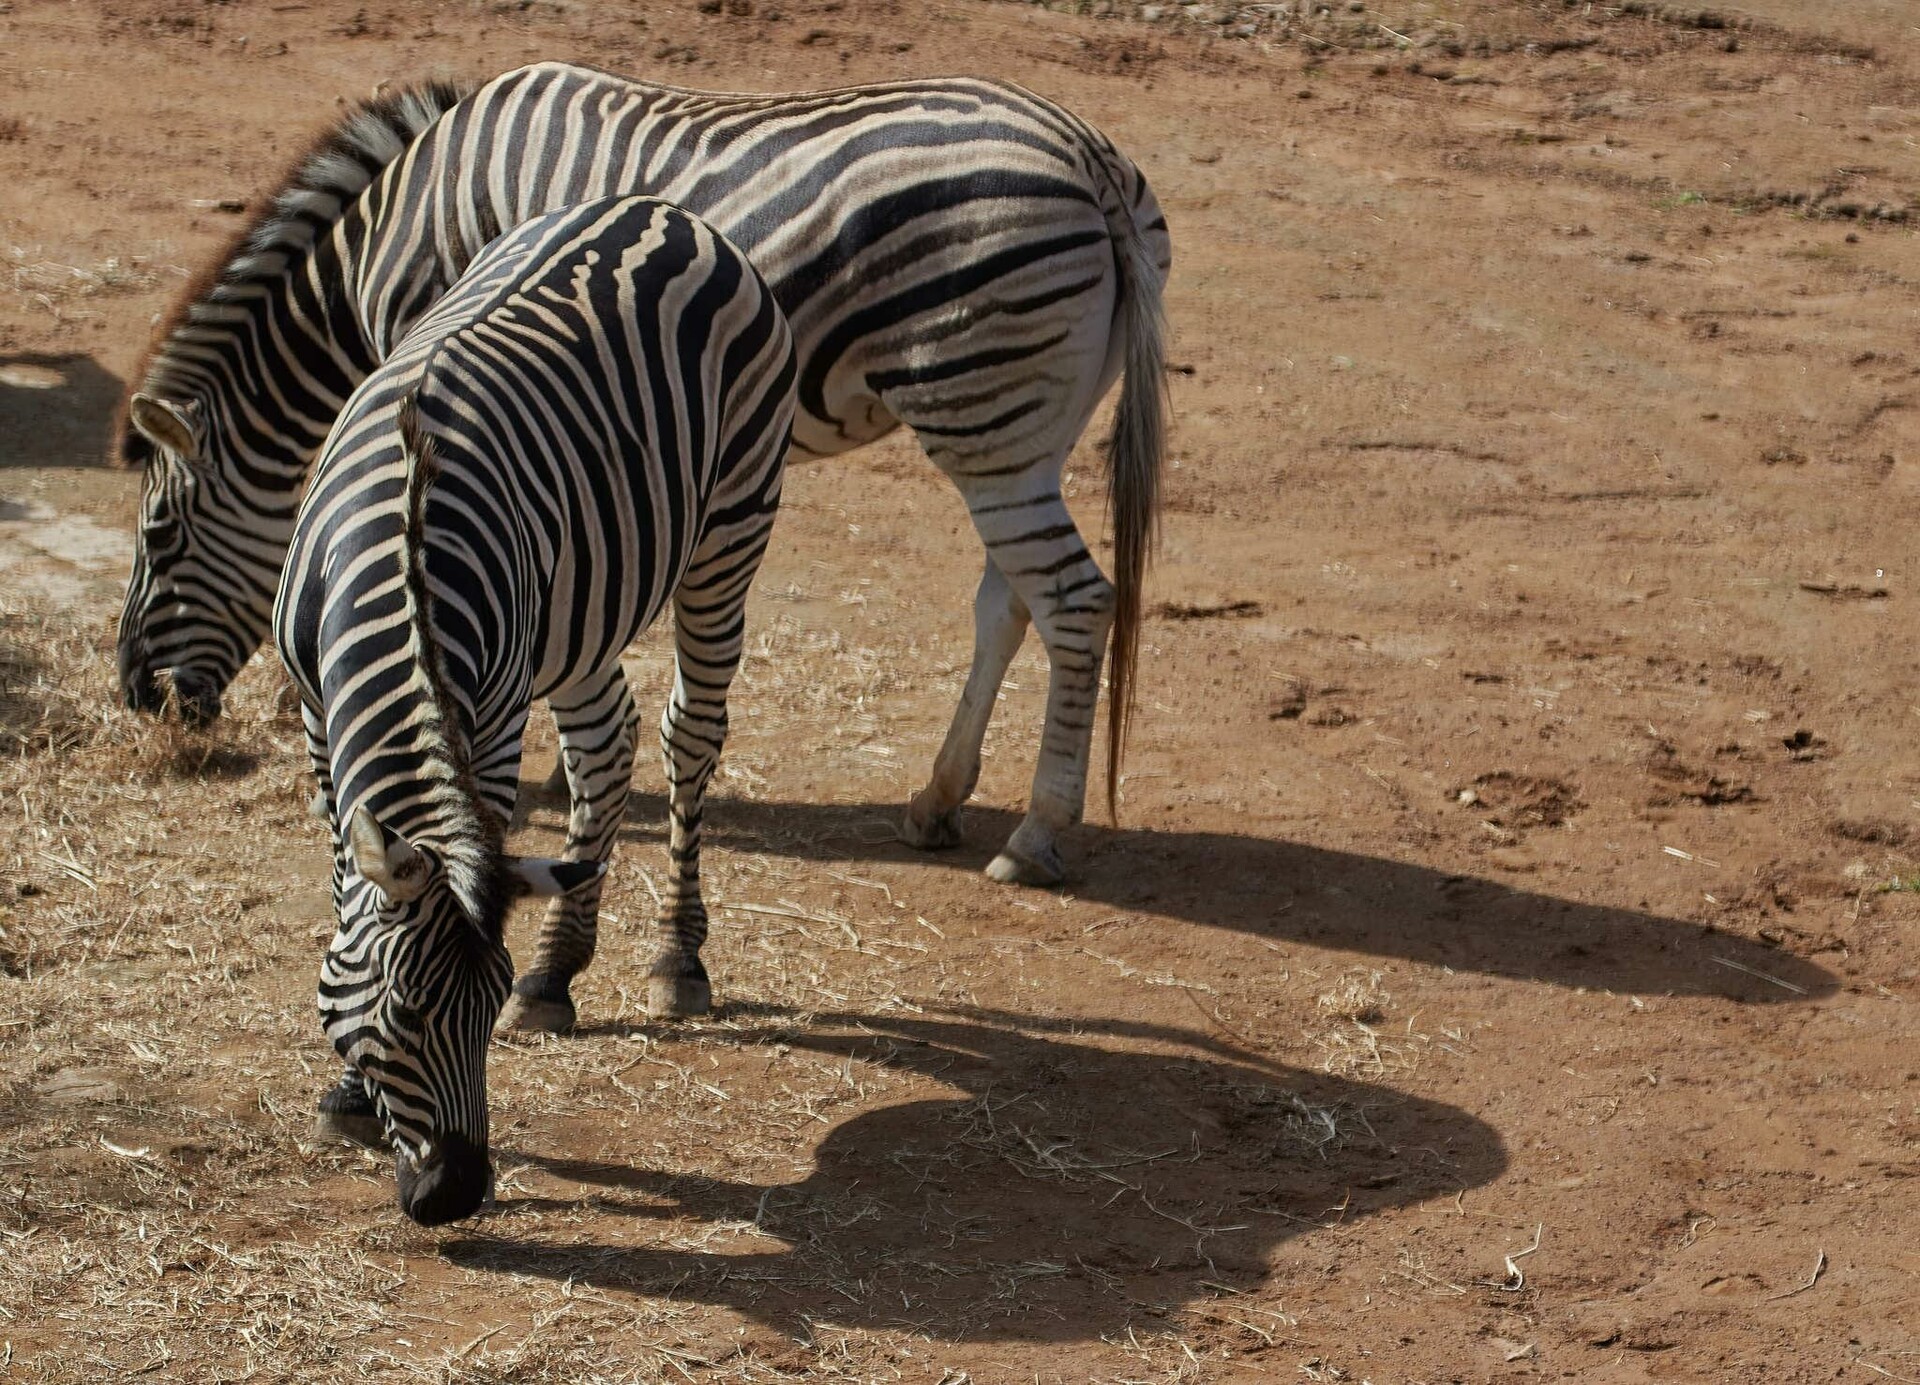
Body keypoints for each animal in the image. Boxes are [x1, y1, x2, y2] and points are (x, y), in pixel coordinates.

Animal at [117, 60, 1170, 955]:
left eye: (159, 536)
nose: (137, 697)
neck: (389, 227)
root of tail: (1090, 158)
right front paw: (564, 768)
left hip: (982, 410)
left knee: (1075, 601)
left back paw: (1036, 832)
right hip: (1026, 429)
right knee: (1010, 602)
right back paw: (937, 799)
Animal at [274, 193, 797, 1224]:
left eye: (484, 1011)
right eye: (405, 1014)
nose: (454, 1194)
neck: (395, 545)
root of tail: (663, 209)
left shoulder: (497, 708)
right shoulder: (316, 709)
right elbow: (347, 875)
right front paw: (346, 1094)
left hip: (732, 529)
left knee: (689, 736)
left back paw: (675, 959)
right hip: (582, 610)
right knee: (607, 744)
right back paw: (561, 974)